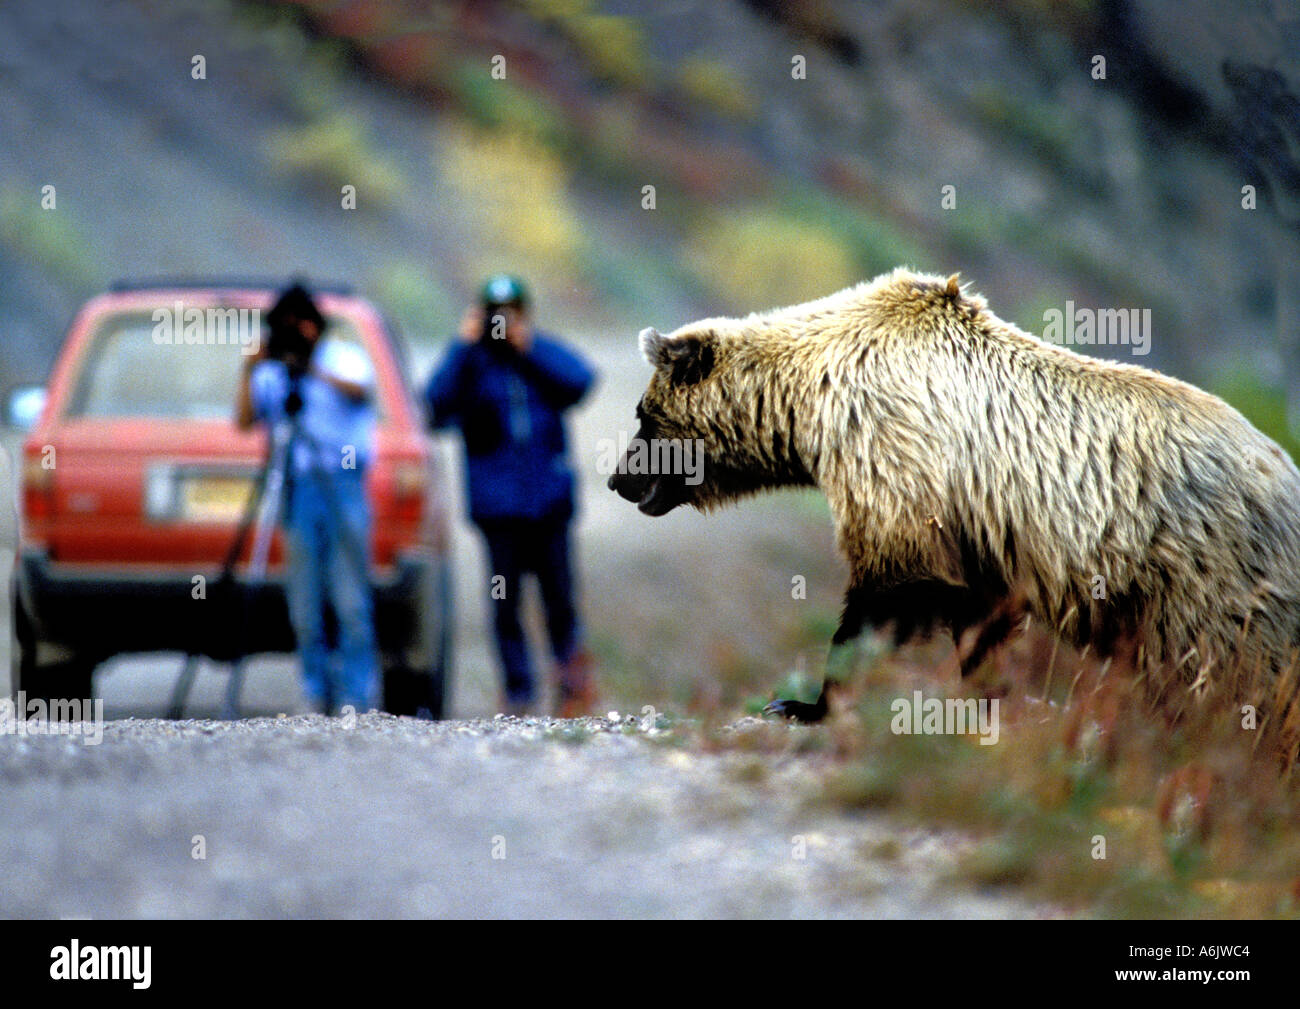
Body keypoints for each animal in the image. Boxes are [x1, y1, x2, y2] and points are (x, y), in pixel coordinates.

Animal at [608, 267, 1300, 721]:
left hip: (1204, 579)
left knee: (1229, 673)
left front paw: (806, 702)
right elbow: (978, 612)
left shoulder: (895, 454)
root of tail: (1286, 470)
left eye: (643, 416)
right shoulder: (981, 525)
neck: (815, 402)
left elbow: (889, 589)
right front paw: (985, 695)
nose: (618, 479)